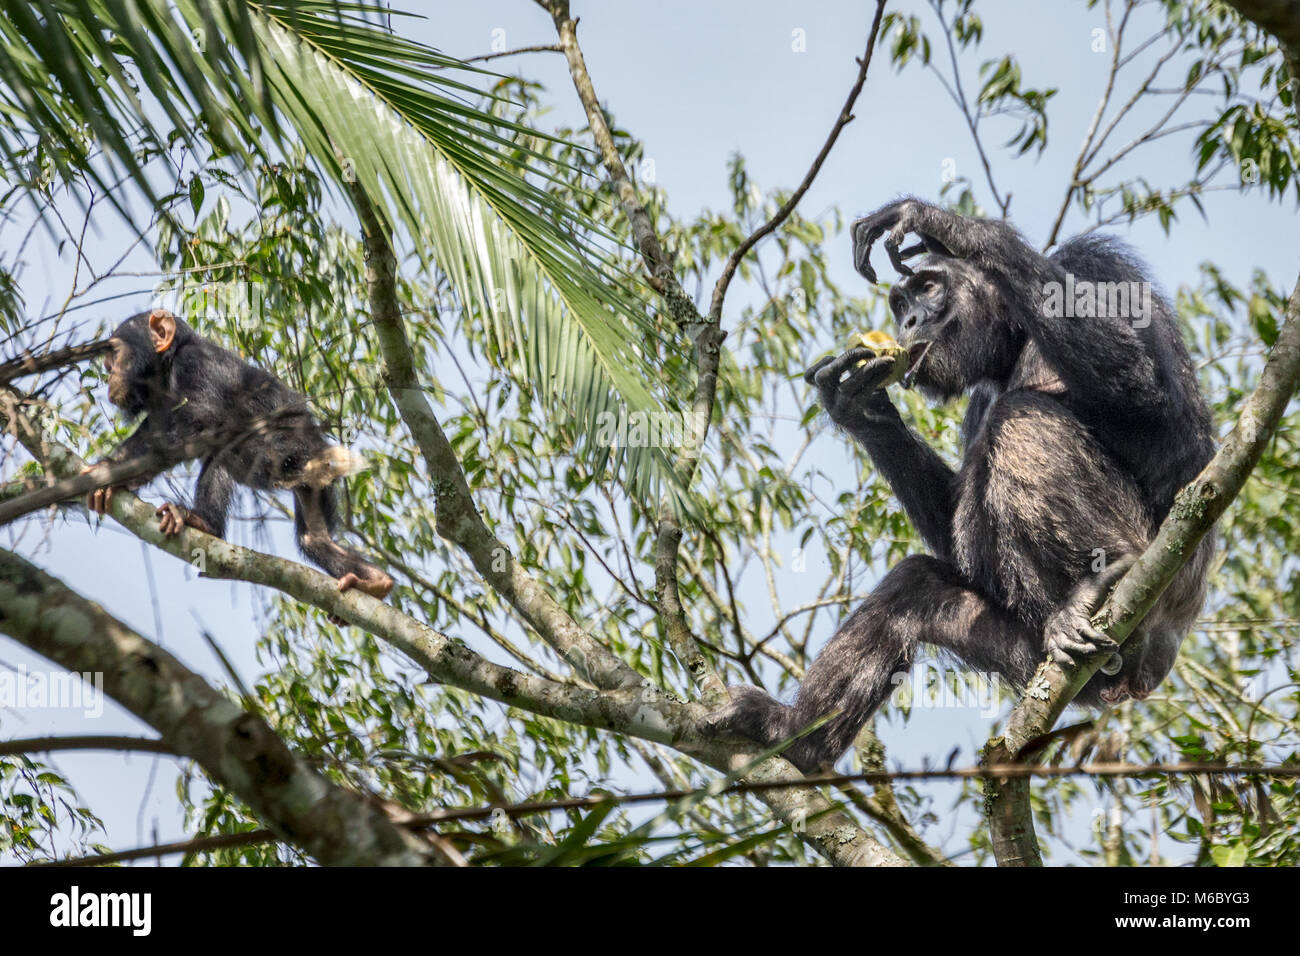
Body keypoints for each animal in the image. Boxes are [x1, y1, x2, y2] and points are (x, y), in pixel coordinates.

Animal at [84, 309, 394, 603]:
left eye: (114, 354)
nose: (108, 372)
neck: (167, 367)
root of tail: (321, 452)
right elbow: (152, 433)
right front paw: (106, 471)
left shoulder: (194, 365)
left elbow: (199, 422)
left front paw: (110, 476)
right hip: (314, 485)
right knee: (314, 538)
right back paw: (374, 581)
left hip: (287, 454)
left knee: (226, 444)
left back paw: (203, 522)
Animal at [706, 198, 1215, 773]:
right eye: (898, 303)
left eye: (928, 286)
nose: (908, 319)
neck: (1016, 335)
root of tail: (1145, 675)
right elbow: (953, 527)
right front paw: (858, 404)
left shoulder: (1096, 267)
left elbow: (1145, 389)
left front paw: (947, 225)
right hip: (1038, 660)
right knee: (914, 590)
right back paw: (792, 734)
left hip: (1149, 594)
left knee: (1020, 419)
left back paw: (1102, 579)